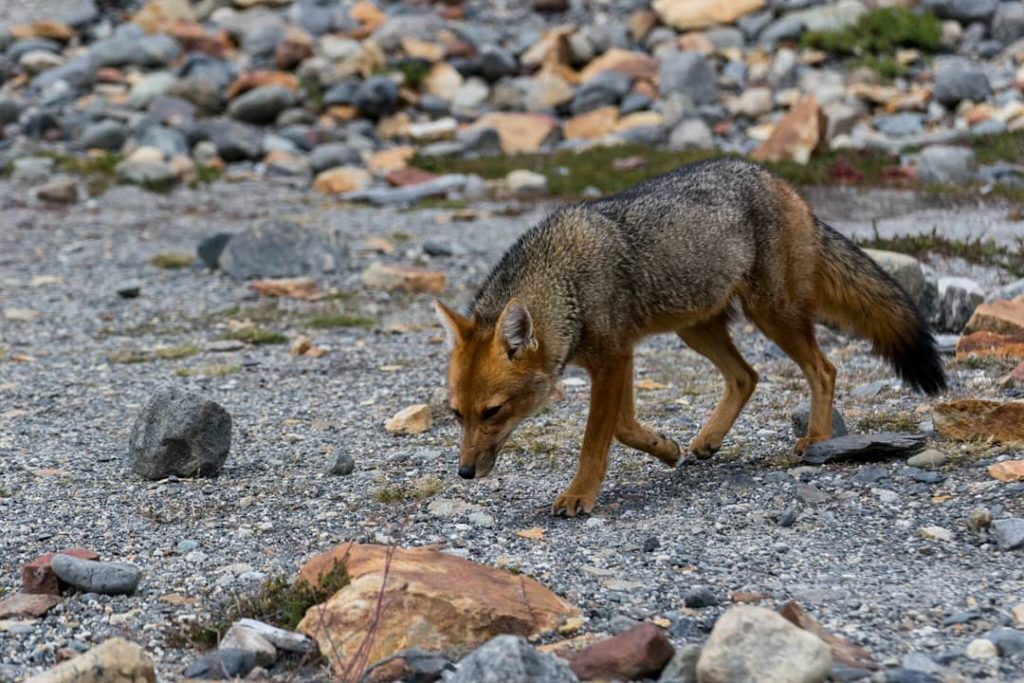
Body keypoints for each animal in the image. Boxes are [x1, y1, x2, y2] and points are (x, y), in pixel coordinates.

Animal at [435, 158, 947, 517]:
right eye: (456, 414)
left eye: (492, 412)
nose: (463, 472)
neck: (566, 283)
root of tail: (777, 180)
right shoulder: (620, 358)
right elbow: (623, 427)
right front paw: (666, 449)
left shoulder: (612, 358)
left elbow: (599, 437)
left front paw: (580, 494)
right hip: (695, 328)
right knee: (747, 376)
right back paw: (707, 441)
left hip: (771, 315)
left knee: (823, 368)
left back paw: (817, 439)